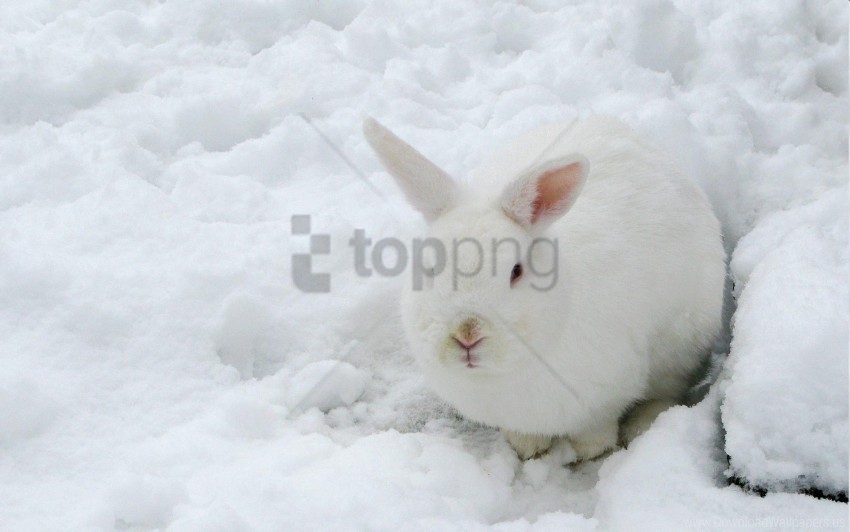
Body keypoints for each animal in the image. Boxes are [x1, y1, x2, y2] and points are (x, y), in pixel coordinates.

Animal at [363, 116, 725, 461]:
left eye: (516, 271)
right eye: (431, 266)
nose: (467, 334)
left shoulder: (607, 395)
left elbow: (597, 428)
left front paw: (590, 451)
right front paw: (527, 448)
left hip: (682, 345)